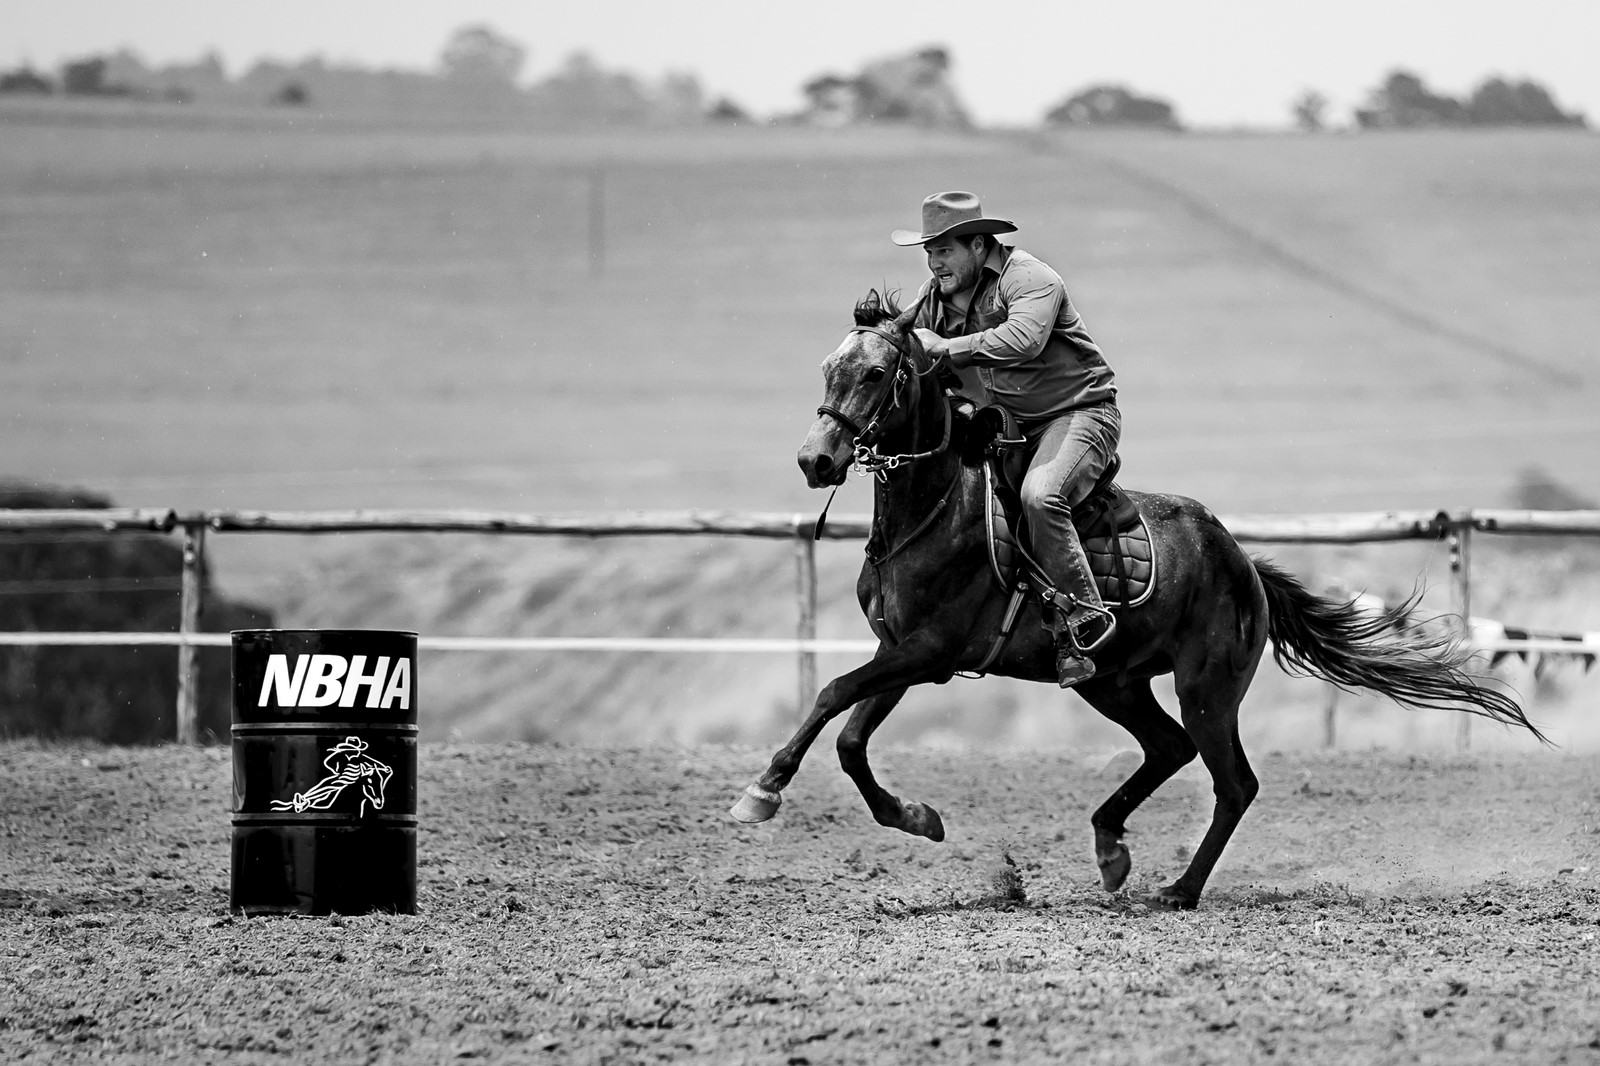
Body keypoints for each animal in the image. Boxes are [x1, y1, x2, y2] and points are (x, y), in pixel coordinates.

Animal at [729, 288, 1543, 910]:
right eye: (828, 367)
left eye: (874, 373)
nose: (815, 459)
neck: (935, 507)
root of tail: (1242, 563)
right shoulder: (903, 653)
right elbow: (851, 738)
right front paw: (917, 817)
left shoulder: (926, 651)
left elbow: (832, 694)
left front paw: (762, 791)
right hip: (1115, 683)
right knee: (1169, 749)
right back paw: (1111, 850)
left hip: (1206, 688)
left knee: (1232, 782)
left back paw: (1177, 890)